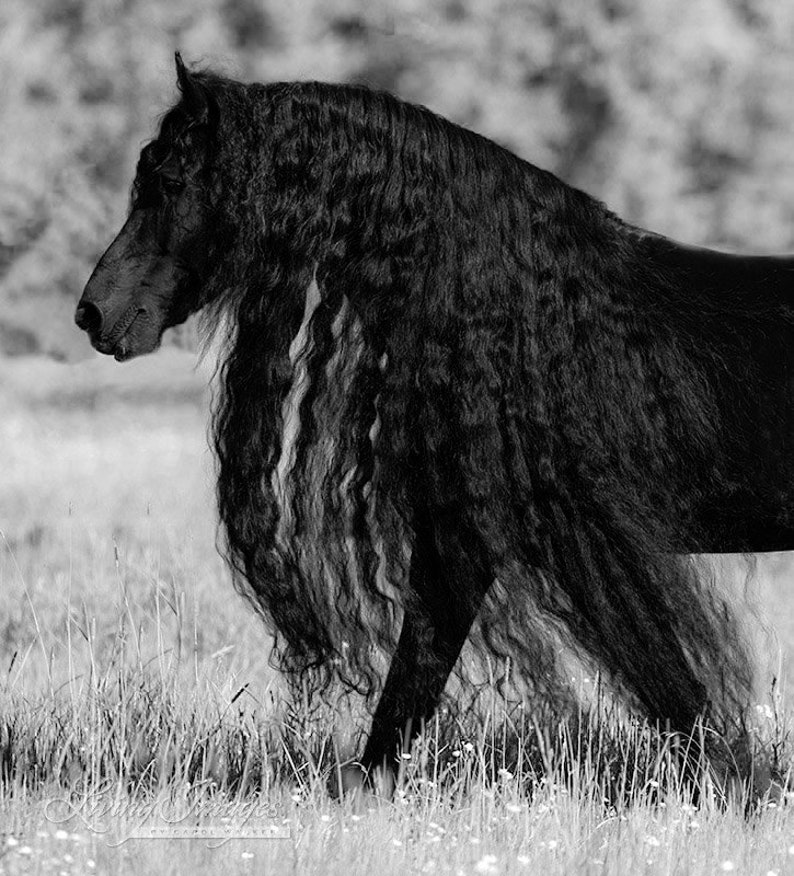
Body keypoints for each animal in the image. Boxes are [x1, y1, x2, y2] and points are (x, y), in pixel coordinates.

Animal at [76, 54, 794, 792]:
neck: (512, 319)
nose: (93, 312)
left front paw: (736, 789)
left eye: (169, 181)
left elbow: (666, 680)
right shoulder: (460, 541)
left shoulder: (555, 540)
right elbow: (410, 687)